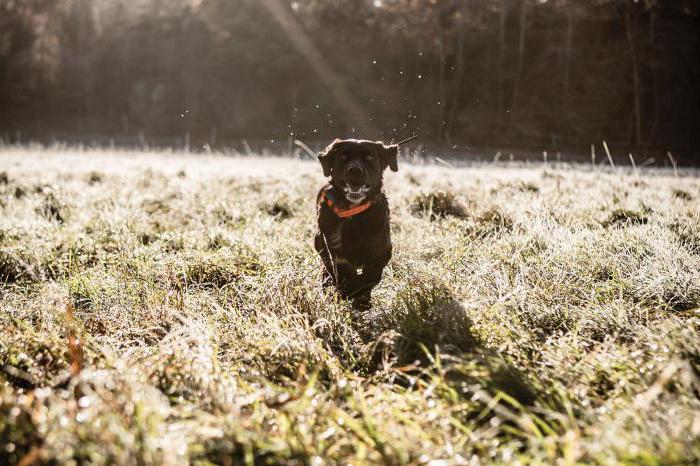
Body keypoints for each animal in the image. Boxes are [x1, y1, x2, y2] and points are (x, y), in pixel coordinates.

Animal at [314, 138, 396, 310]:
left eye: (369, 157)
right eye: (343, 157)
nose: (355, 171)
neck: (354, 214)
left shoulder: (383, 250)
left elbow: (372, 275)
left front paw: (361, 298)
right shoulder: (328, 243)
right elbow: (340, 266)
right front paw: (347, 290)